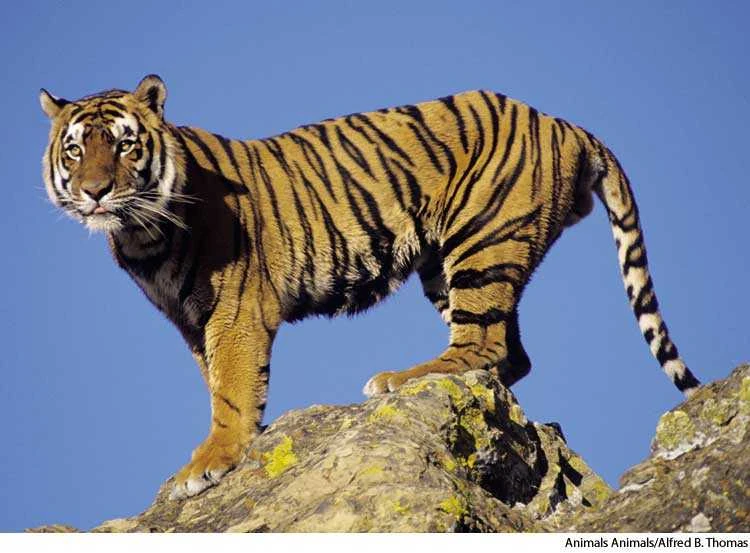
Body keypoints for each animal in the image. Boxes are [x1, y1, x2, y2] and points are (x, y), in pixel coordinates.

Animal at [39, 75, 700, 499]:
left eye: (125, 144)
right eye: (74, 150)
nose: (96, 191)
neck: (139, 234)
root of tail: (562, 121)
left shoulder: (234, 309)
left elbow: (230, 391)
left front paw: (208, 464)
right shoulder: (190, 320)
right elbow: (219, 385)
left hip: (480, 244)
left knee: (482, 345)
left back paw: (400, 379)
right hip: (447, 263)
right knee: (507, 357)